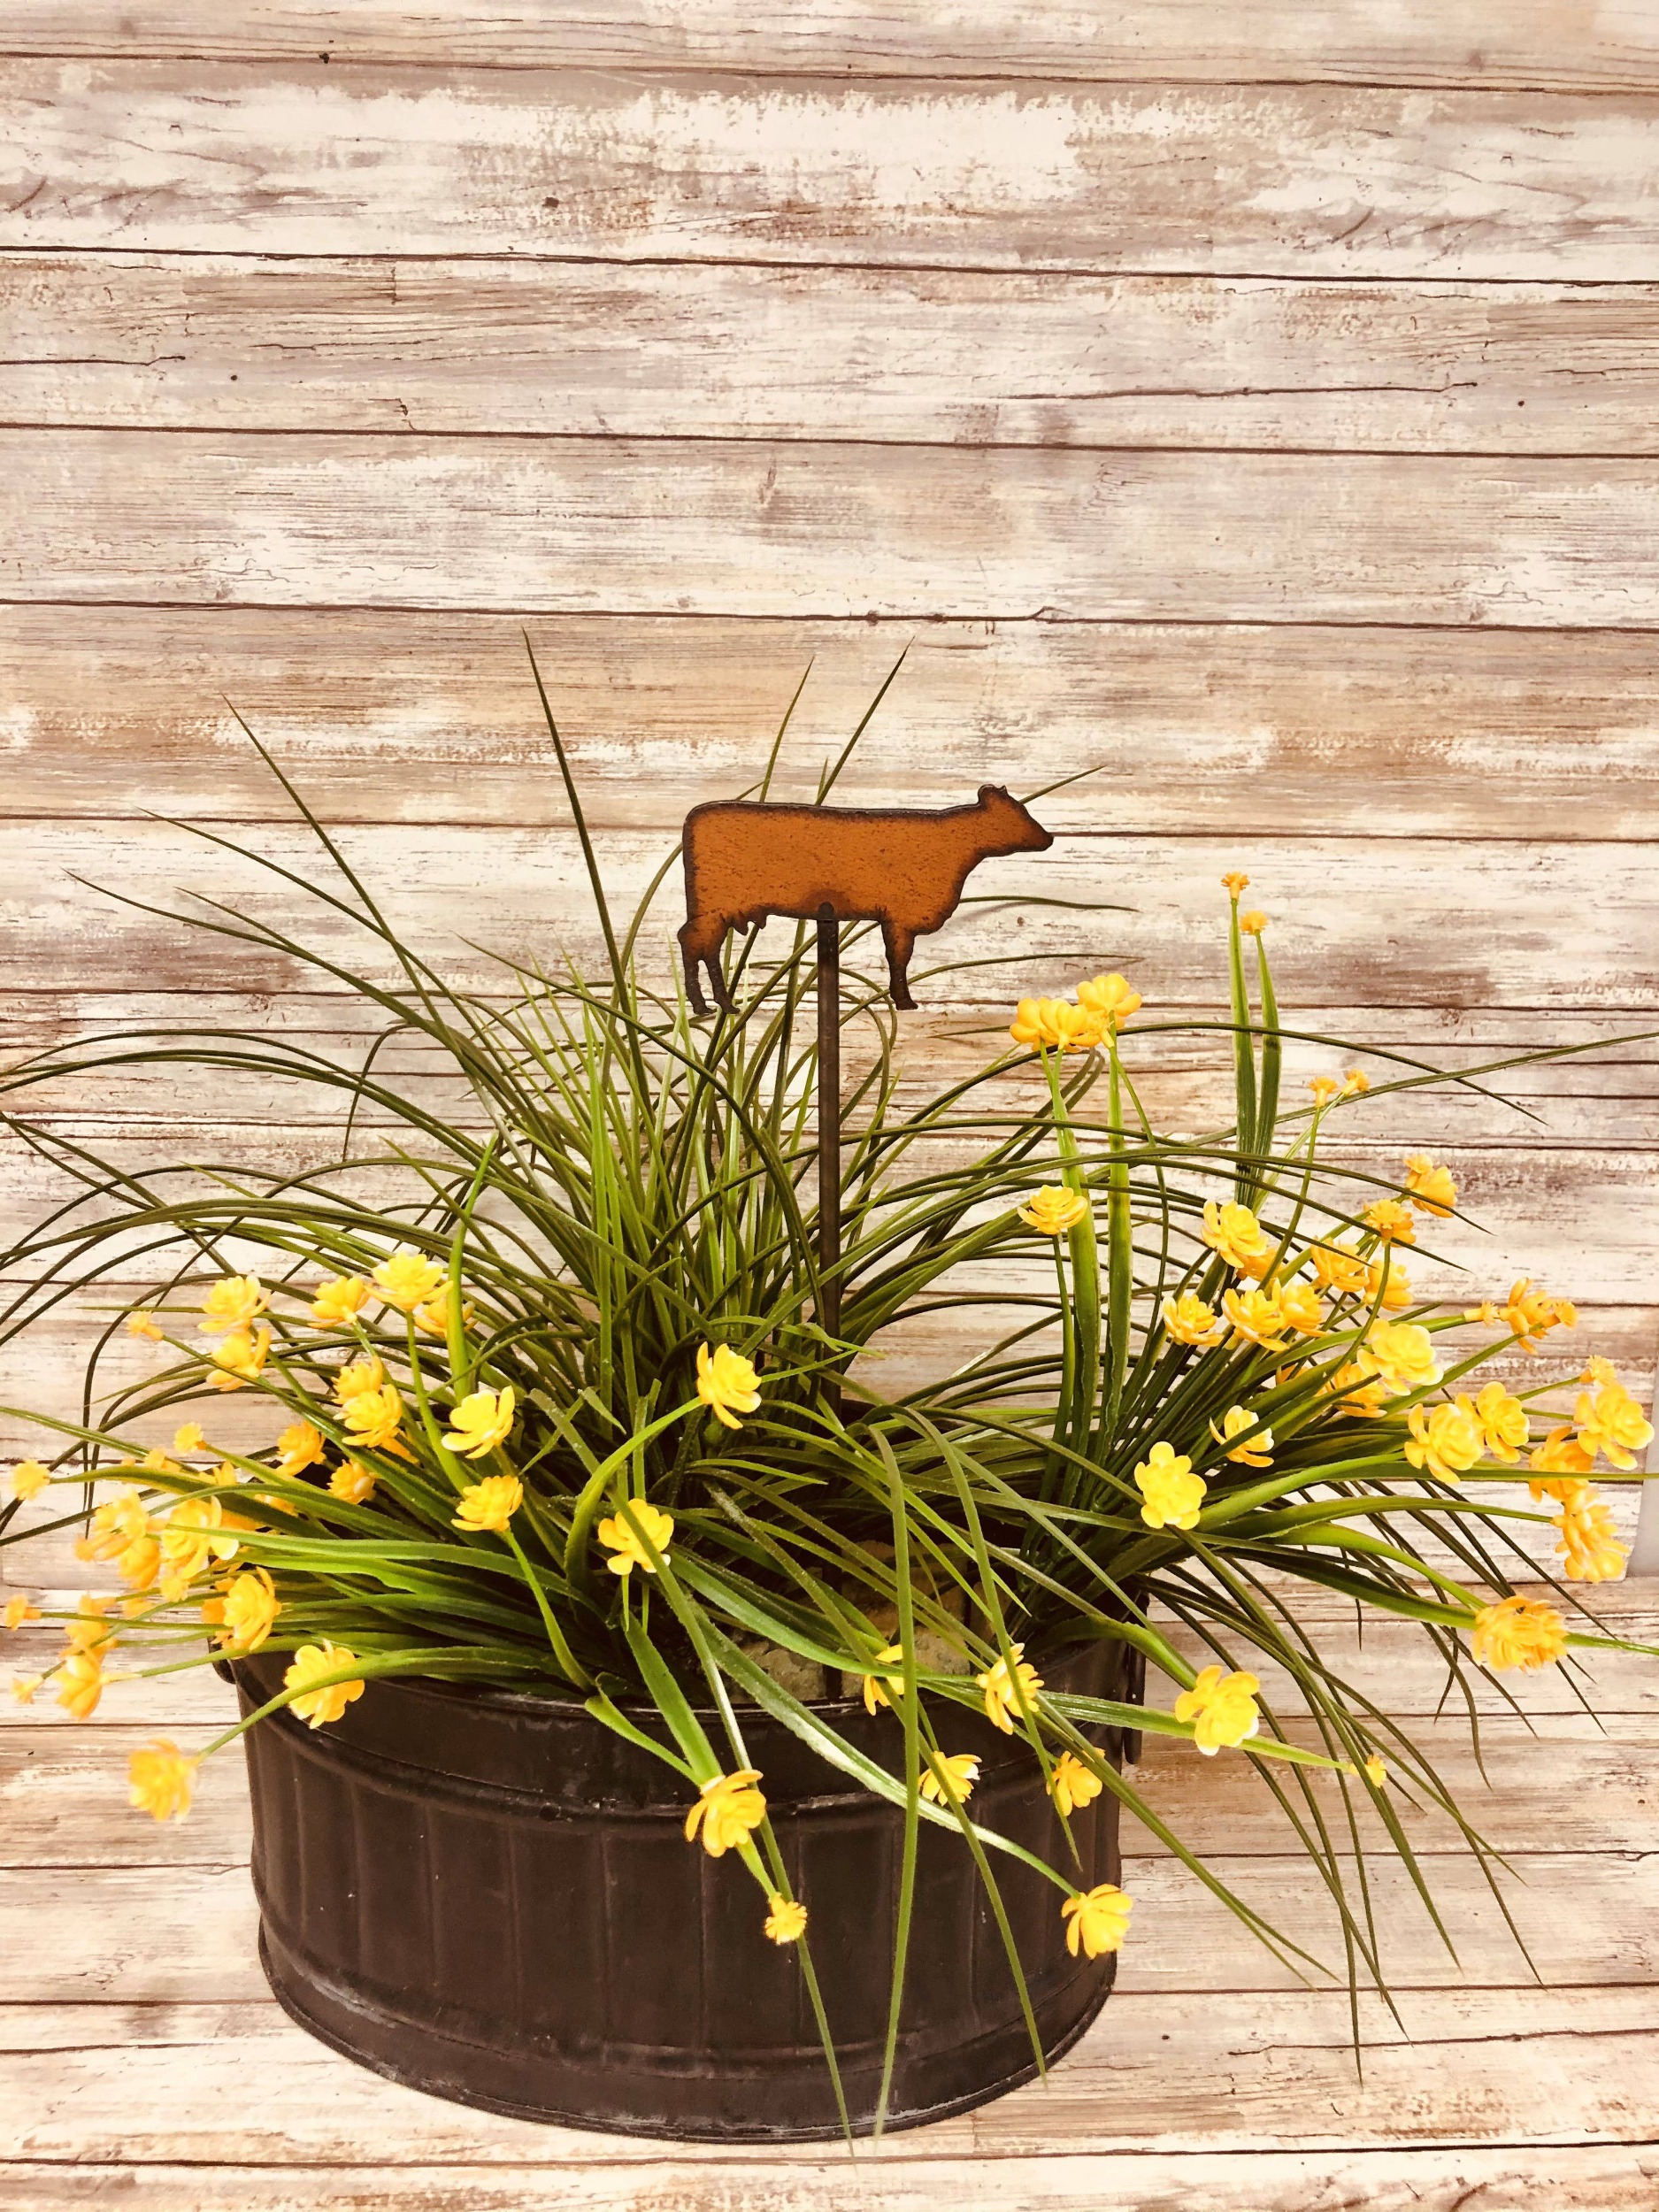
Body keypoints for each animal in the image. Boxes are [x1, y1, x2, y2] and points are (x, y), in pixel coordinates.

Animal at [678, 784, 1053, 1014]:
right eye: (1018, 813)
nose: (1050, 837)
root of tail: (694, 817)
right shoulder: (899, 917)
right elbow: (898, 959)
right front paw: (905, 1001)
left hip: (718, 913)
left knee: (706, 948)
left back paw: (723, 1005)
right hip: (713, 908)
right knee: (692, 942)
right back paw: (703, 1006)